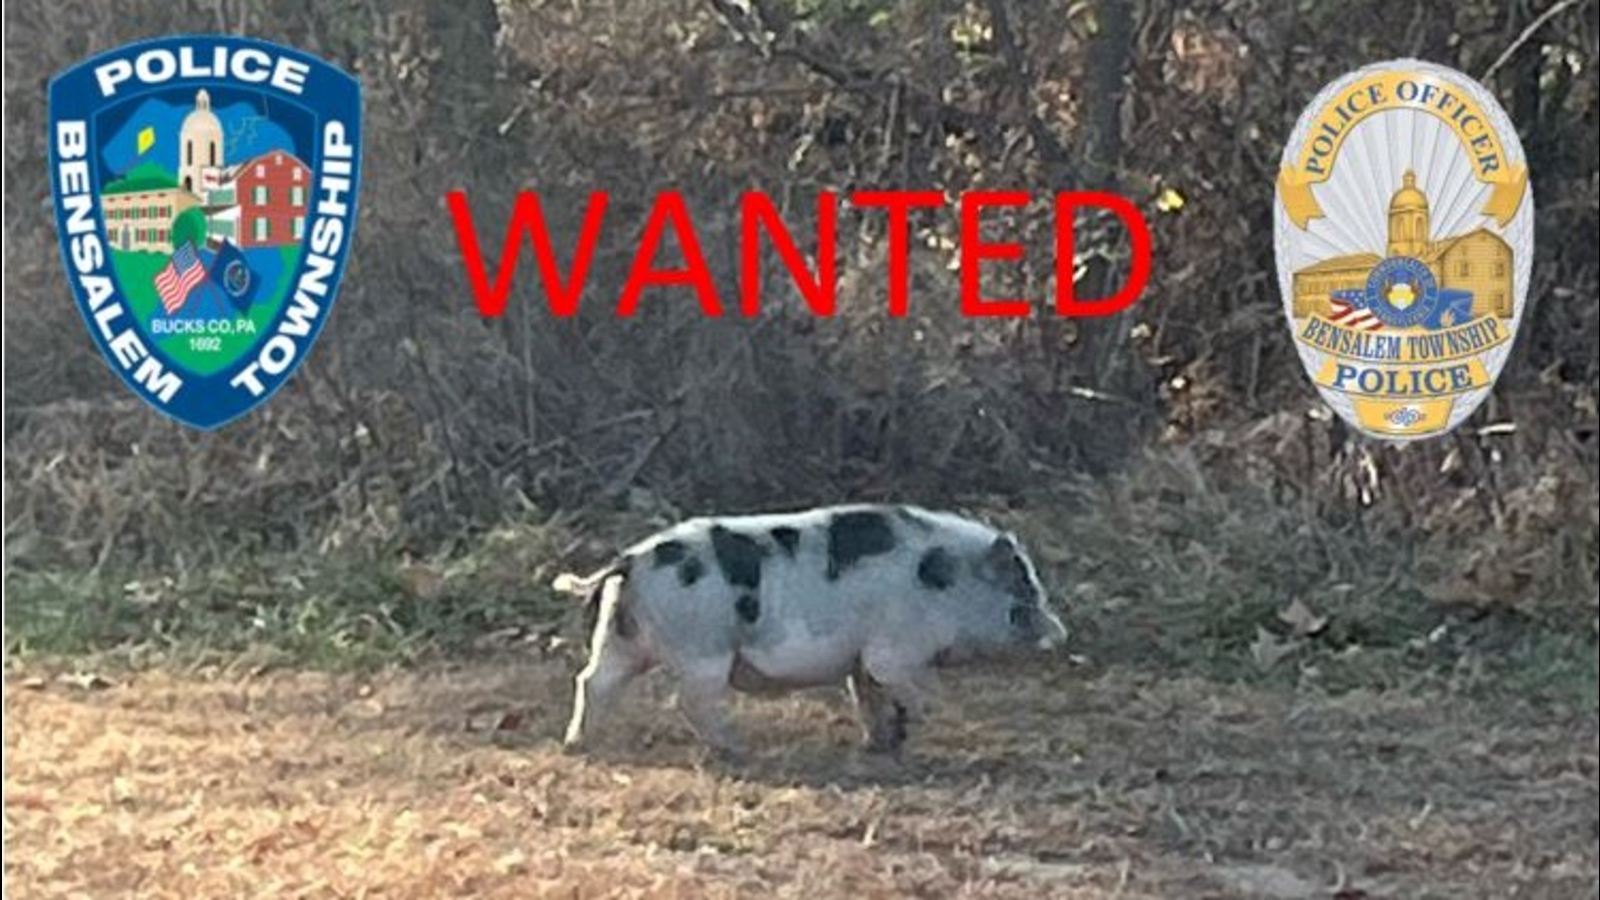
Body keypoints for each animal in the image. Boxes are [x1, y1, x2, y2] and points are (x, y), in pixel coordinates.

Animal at [551, 504, 1068, 756]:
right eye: (1025, 593)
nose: (1061, 634)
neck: (946, 581)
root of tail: (631, 559)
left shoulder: (862, 663)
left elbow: (869, 698)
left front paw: (879, 743)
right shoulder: (894, 652)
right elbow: (917, 690)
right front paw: (926, 723)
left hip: (619, 639)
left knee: (591, 681)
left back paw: (578, 744)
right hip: (703, 651)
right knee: (689, 701)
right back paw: (736, 749)